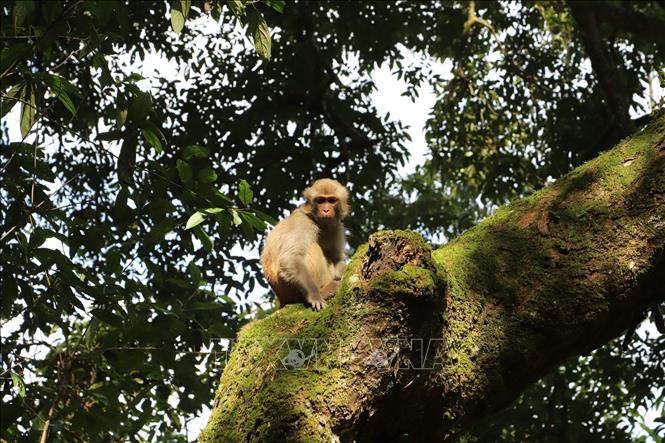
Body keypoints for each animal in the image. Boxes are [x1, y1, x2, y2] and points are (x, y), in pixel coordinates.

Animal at [261, 178, 349, 311]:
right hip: (288, 289)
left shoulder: (336, 227)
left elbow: (337, 258)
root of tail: (281, 298)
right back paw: (322, 291)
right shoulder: (303, 223)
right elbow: (290, 258)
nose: (326, 210)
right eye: (320, 201)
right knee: (312, 247)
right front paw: (315, 295)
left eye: (332, 201)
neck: (317, 222)